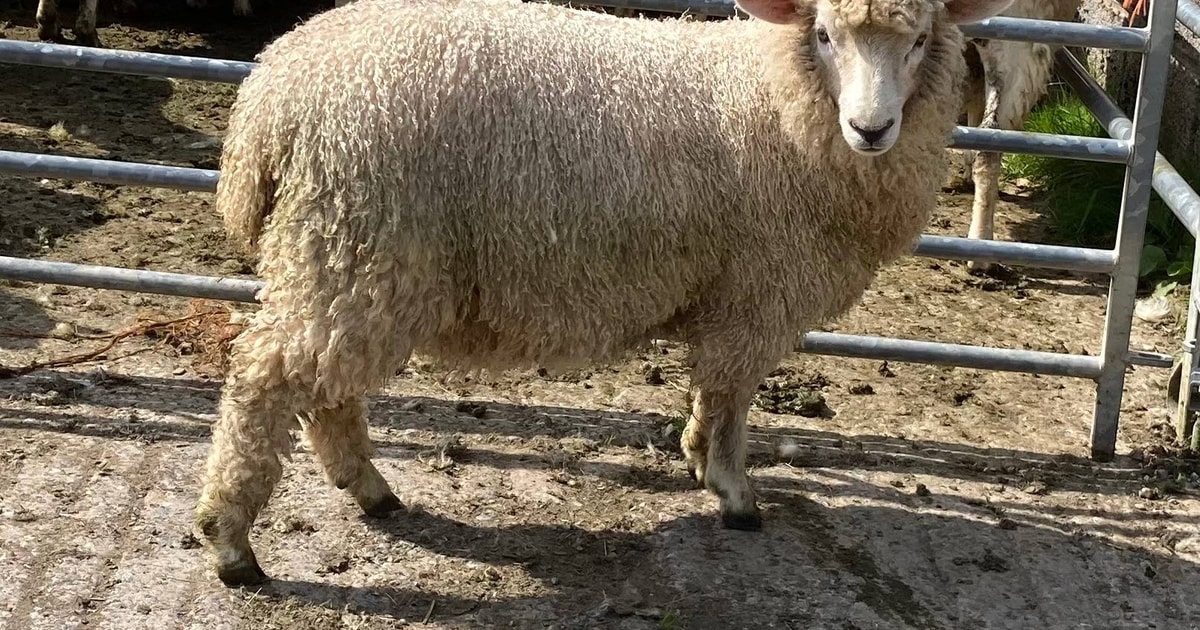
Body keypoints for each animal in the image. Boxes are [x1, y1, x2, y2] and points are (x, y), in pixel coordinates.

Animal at [194, 0, 1016, 587]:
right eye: (822, 33)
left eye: (919, 41)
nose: (871, 128)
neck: (779, 103)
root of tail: (272, 91)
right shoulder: (758, 293)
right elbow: (733, 399)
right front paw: (733, 491)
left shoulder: (732, 296)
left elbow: (712, 392)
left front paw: (694, 455)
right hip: (360, 244)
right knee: (266, 380)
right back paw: (232, 543)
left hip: (346, 259)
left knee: (326, 388)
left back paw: (368, 488)